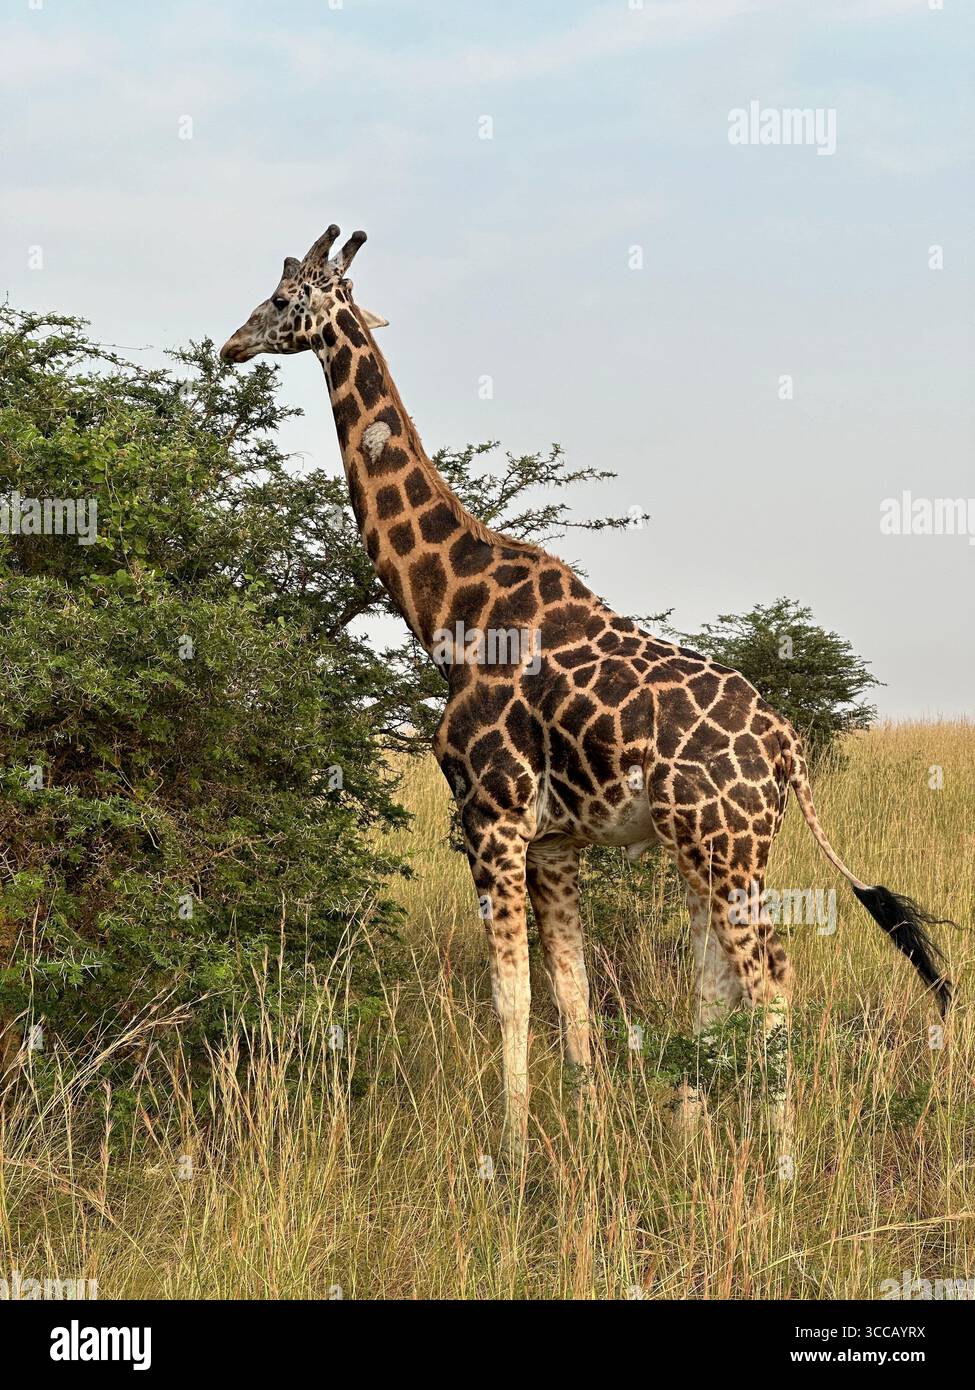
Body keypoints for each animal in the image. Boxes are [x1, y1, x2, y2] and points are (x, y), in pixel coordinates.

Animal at [221, 224, 952, 1159]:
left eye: (282, 299)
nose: (230, 343)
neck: (447, 610)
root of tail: (789, 752)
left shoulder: (490, 817)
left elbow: (512, 997)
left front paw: (513, 1154)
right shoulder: (555, 841)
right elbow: (569, 994)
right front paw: (588, 1133)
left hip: (725, 845)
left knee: (772, 978)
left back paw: (782, 1160)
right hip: (707, 847)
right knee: (716, 975)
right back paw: (687, 1136)